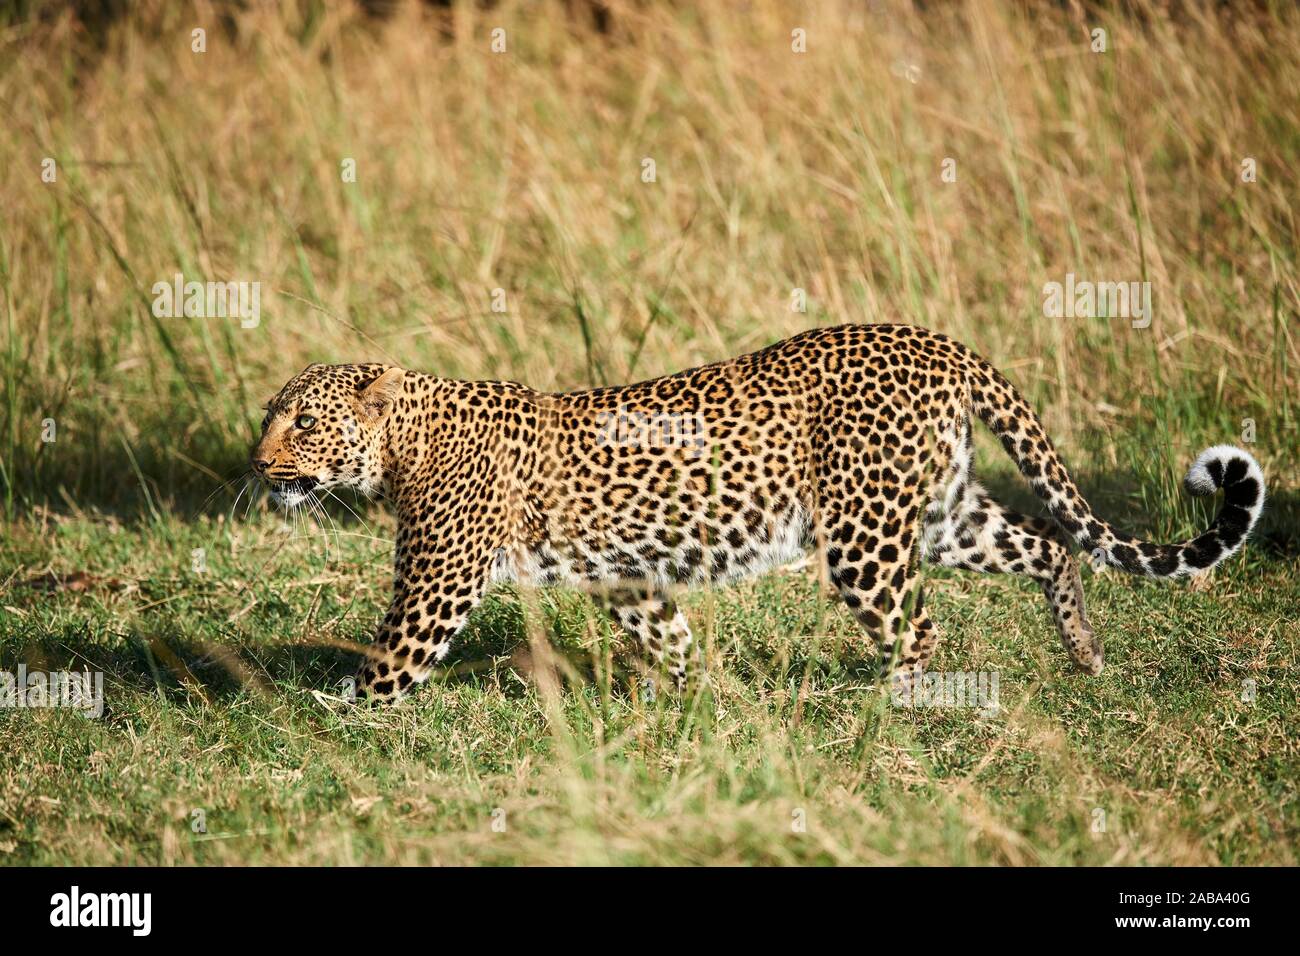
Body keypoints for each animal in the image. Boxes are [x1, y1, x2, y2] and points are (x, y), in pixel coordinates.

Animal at [249, 323, 1265, 703]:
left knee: (921, 626)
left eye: (303, 421)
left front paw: (319, 716)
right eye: (269, 417)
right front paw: (699, 702)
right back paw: (1086, 655)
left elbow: (385, 667)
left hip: (863, 539)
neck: (400, 446)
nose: (259, 466)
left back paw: (903, 705)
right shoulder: (628, 580)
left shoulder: (436, 584)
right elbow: (670, 636)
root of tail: (932, 337)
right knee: (1054, 545)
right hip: (942, 514)